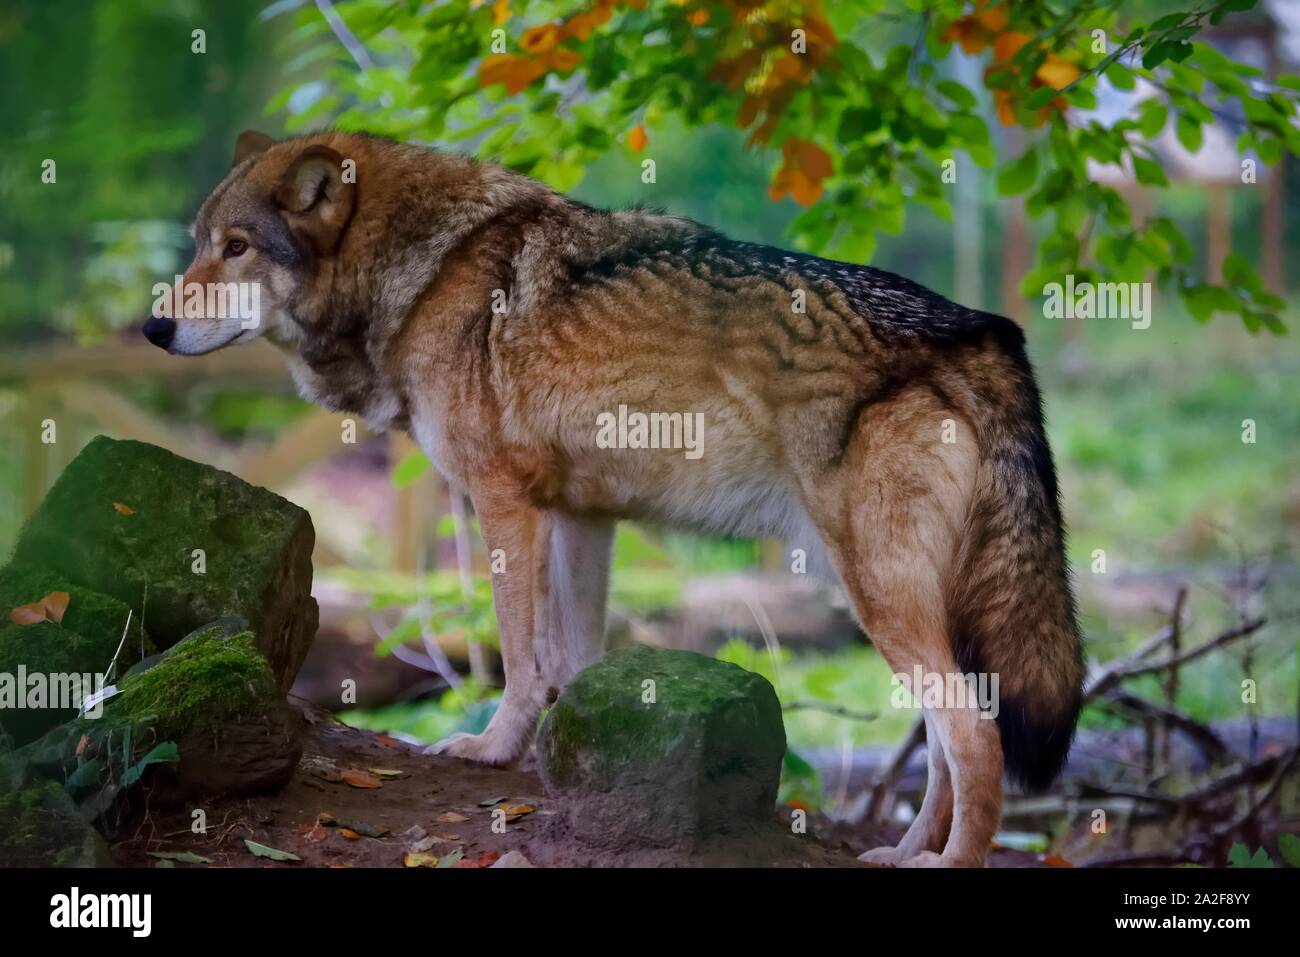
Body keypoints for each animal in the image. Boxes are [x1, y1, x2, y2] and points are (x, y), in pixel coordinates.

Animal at [142, 130, 1084, 867]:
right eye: (199, 243)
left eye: (237, 247)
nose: (152, 328)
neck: (429, 271)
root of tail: (982, 329)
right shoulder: (582, 517)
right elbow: (576, 661)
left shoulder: (505, 502)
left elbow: (521, 657)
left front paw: (490, 750)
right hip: (891, 599)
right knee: (942, 745)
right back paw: (903, 849)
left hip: (879, 594)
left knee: (975, 736)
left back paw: (948, 861)